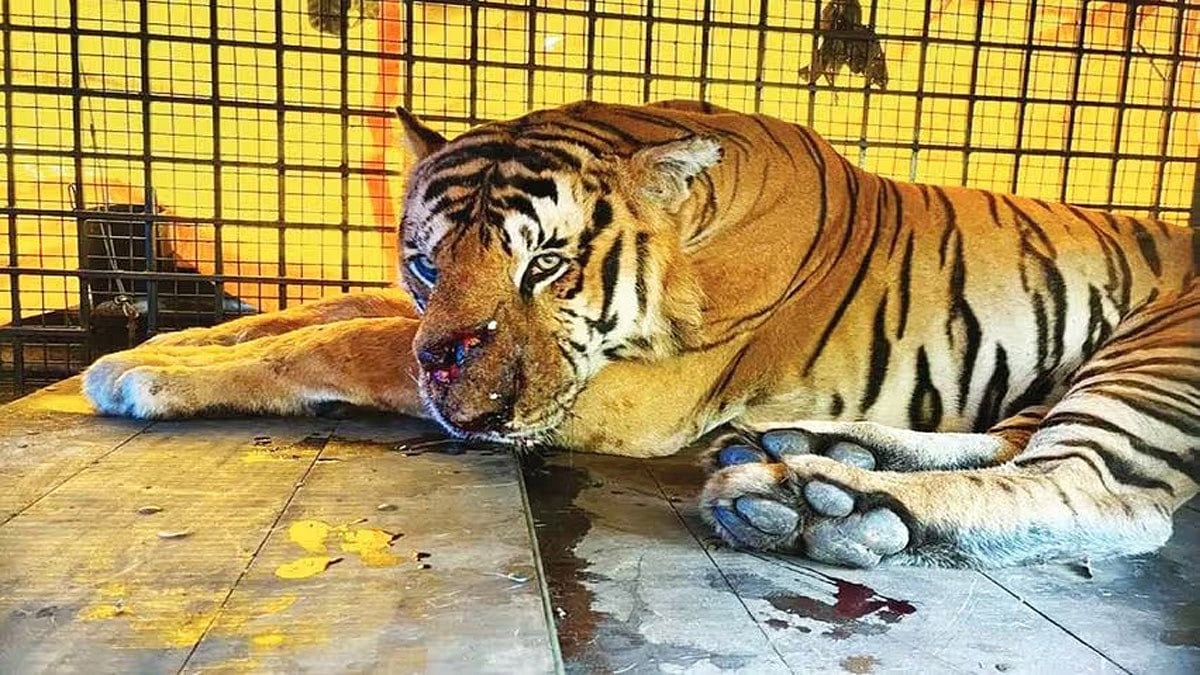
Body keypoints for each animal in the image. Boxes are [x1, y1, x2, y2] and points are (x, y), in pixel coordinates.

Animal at [81, 100, 1199, 569]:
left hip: (1149, 364)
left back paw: (819, 504)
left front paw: (141, 379)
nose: (451, 385)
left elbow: (345, 343)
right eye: (429, 262)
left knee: (1104, 494)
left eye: (545, 265)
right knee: (1011, 441)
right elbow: (336, 309)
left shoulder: (618, 394)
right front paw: (147, 348)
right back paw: (812, 451)